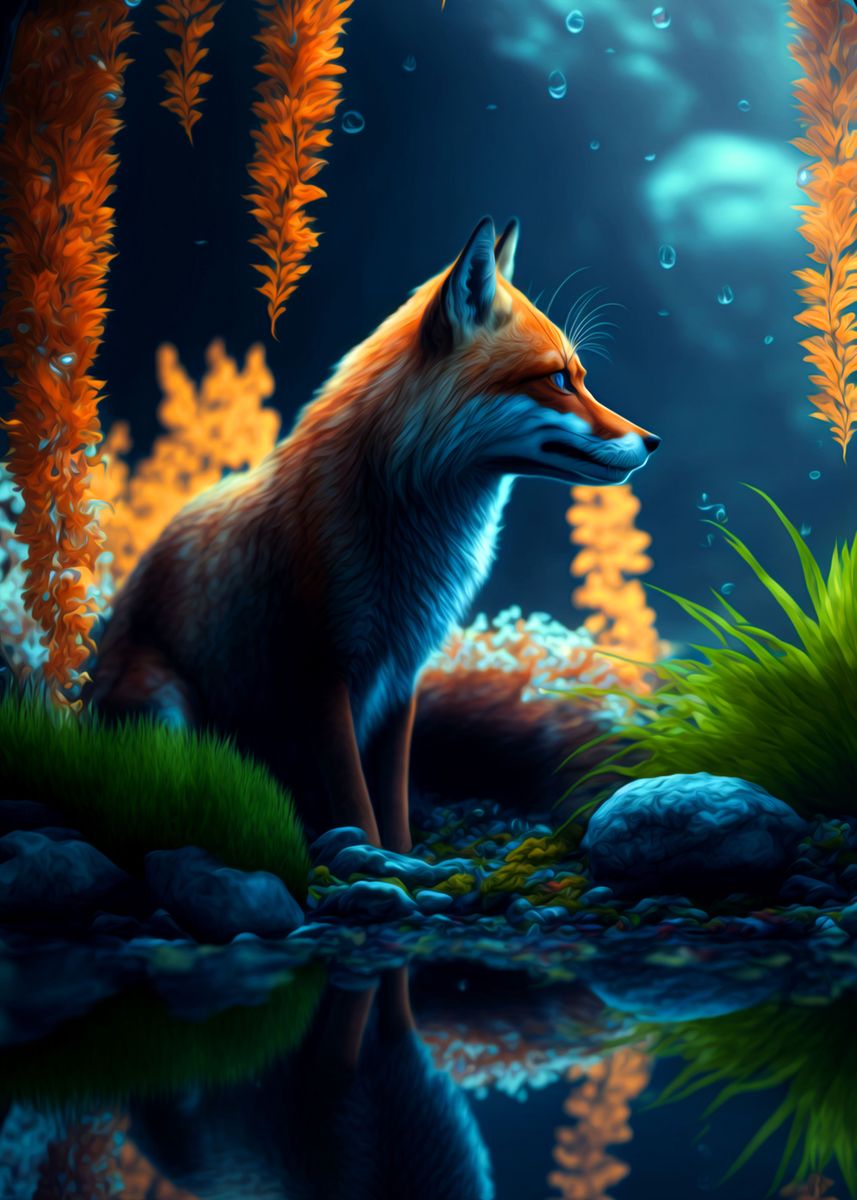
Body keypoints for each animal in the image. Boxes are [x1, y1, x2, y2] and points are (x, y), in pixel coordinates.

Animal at [91, 216, 660, 852]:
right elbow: (354, 799)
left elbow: (390, 797)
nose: (652, 441)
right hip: (165, 706)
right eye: (559, 378)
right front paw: (365, 854)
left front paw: (404, 858)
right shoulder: (319, 671)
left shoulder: (401, 677)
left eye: (581, 377)